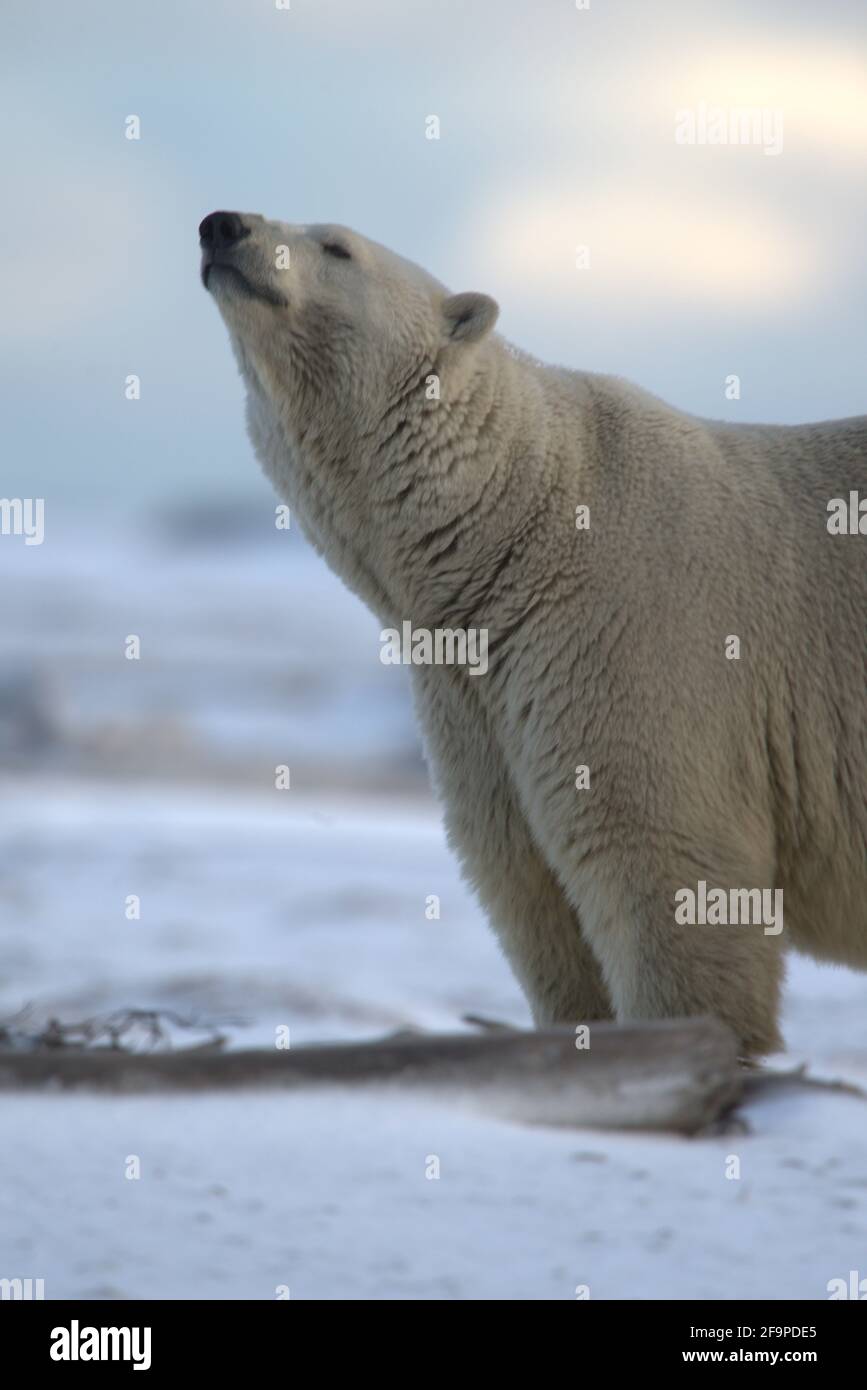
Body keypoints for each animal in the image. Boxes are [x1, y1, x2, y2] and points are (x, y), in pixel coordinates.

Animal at [199, 209, 867, 1058]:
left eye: (337, 245)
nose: (222, 225)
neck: (520, 519)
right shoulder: (478, 699)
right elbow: (530, 890)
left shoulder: (632, 638)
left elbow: (666, 868)